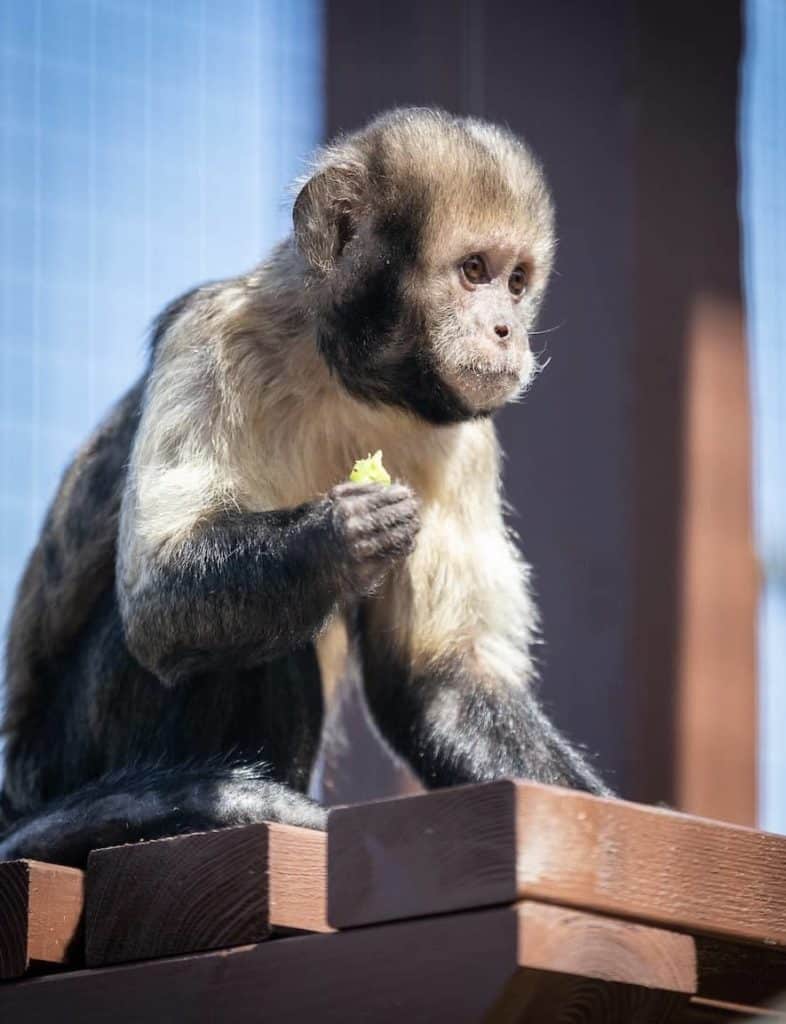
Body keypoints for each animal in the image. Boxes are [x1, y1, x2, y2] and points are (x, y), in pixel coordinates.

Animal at [0, 108, 608, 868]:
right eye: (474, 272)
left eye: (517, 282)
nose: (506, 330)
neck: (346, 374)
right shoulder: (211, 334)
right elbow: (156, 603)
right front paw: (339, 537)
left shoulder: (464, 437)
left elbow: (439, 684)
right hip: (64, 758)